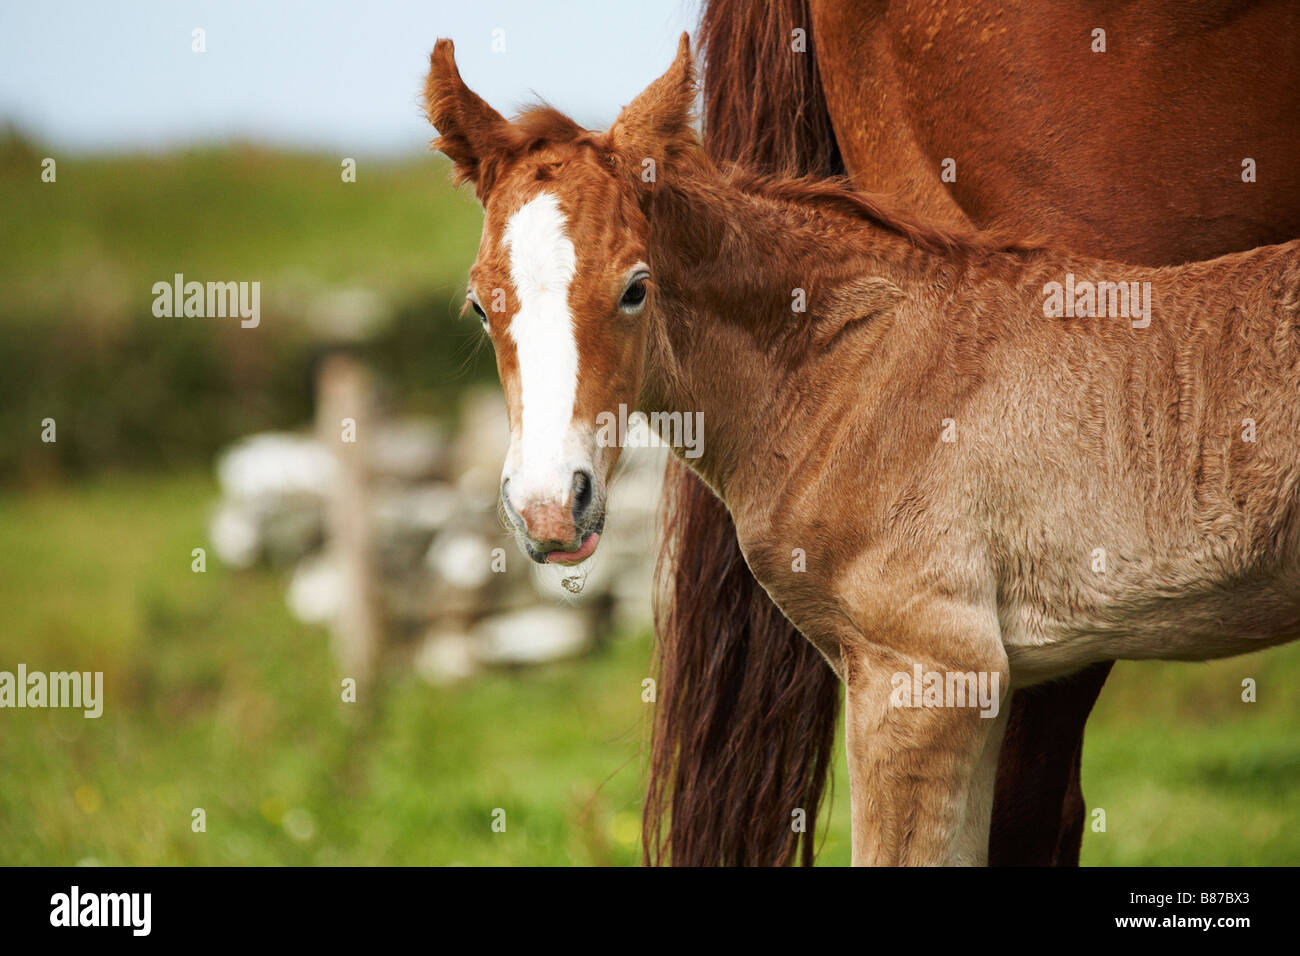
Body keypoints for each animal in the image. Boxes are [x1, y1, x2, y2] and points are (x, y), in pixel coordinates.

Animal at [424, 34, 1300, 864]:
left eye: (636, 287)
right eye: (478, 305)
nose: (549, 508)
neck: (851, 364)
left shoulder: (927, 671)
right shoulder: (974, 683)